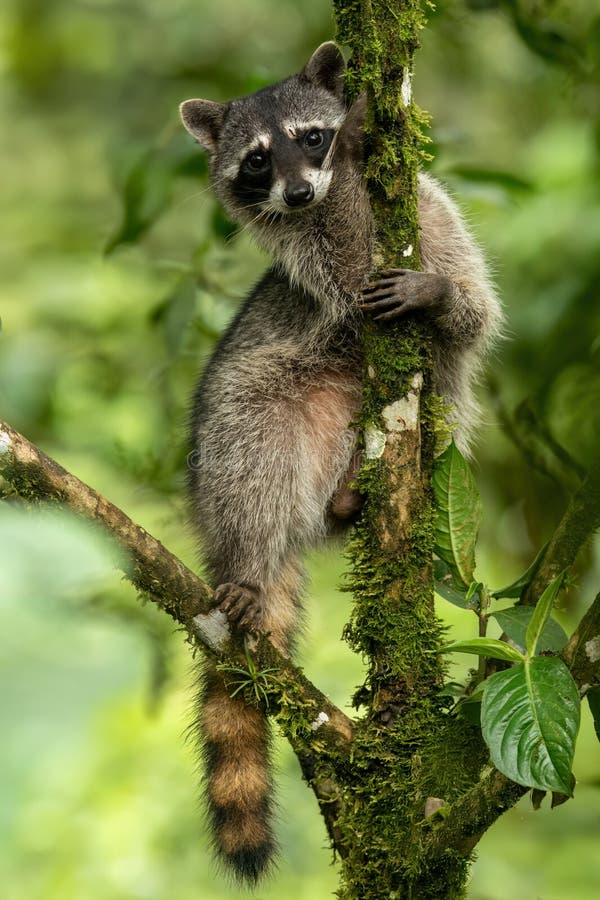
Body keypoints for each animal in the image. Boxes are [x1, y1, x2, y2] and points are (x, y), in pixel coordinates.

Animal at [179, 42, 502, 884]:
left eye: (310, 138)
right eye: (257, 161)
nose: (298, 190)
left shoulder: (439, 220)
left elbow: (472, 315)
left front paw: (438, 293)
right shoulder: (315, 253)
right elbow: (351, 266)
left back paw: (353, 491)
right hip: (252, 414)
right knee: (253, 456)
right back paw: (261, 554)